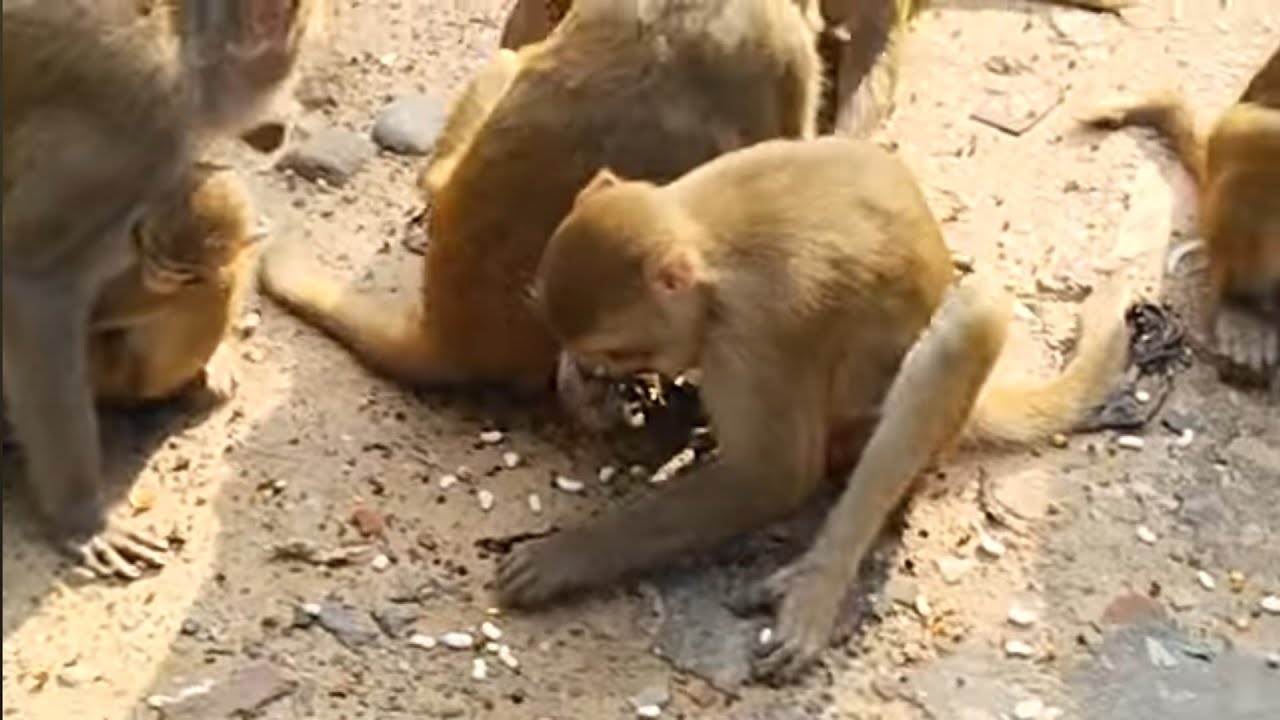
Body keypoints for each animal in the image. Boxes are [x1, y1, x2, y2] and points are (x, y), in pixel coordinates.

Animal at [494, 136, 1132, 682]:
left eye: (622, 350)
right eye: (598, 351)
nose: (599, 370)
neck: (708, 246)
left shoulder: (756, 335)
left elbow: (773, 477)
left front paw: (569, 554)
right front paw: (577, 385)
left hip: (880, 426)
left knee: (968, 322)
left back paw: (819, 581)